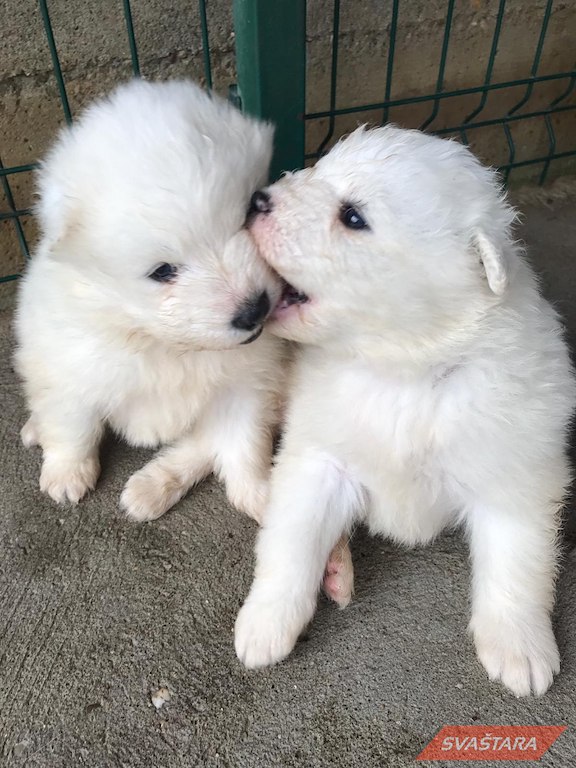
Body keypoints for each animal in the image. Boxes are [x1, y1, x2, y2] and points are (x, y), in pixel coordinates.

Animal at [16, 79, 286, 520]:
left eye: (249, 210)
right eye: (162, 271)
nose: (255, 309)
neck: (161, 341)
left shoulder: (246, 385)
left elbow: (243, 444)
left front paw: (262, 494)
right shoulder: (71, 369)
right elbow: (73, 427)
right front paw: (66, 476)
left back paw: (153, 486)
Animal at [235, 124, 576, 696]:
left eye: (353, 217)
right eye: (320, 168)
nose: (256, 201)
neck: (404, 371)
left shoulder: (515, 473)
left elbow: (517, 562)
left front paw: (520, 648)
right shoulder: (317, 460)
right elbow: (290, 543)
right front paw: (264, 624)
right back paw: (337, 566)